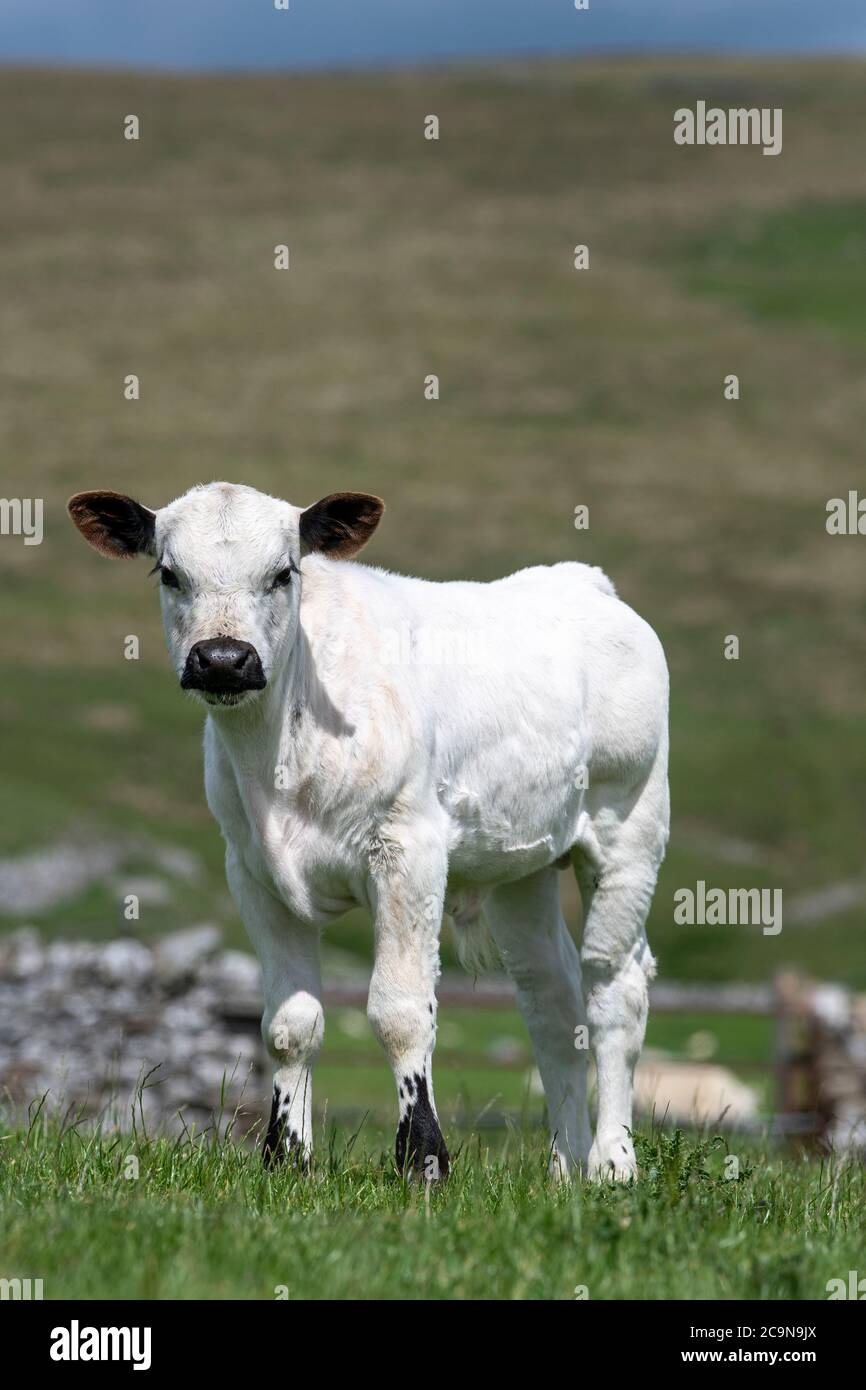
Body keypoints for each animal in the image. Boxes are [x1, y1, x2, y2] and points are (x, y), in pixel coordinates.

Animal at [68, 481, 669, 1181]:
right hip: (521, 869)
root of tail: (582, 580)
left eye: (284, 572)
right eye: (169, 573)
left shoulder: (409, 852)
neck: (280, 757)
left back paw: (612, 1163)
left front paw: (423, 1157)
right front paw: (286, 1157)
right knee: (551, 1000)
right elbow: (289, 1023)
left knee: (614, 989)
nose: (223, 660)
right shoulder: (252, 871)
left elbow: (400, 1012)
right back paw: (563, 1169)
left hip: (629, 829)